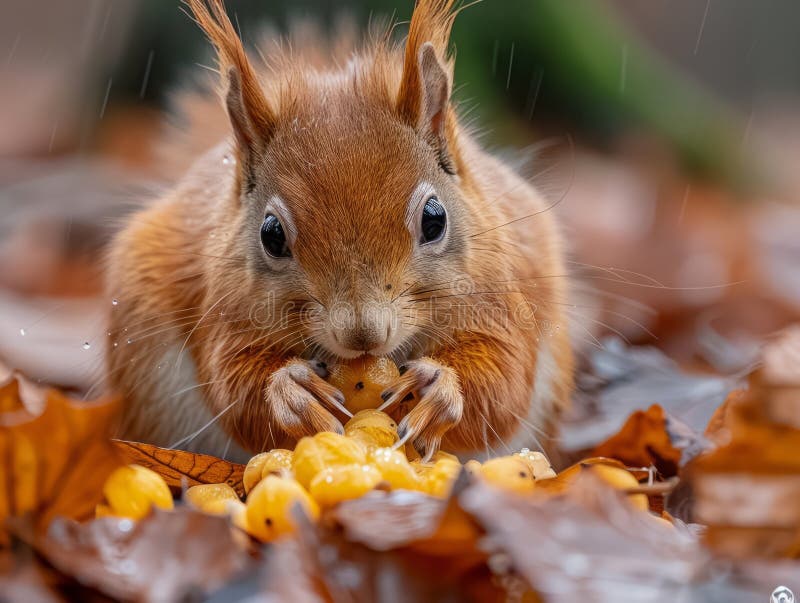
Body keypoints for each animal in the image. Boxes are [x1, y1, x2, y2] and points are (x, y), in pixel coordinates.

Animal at [105, 0, 574, 462]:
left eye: (434, 219)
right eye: (271, 235)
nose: (363, 334)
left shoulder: (498, 293)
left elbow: (504, 379)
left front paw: (439, 387)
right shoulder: (224, 308)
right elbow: (232, 386)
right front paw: (291, 392)